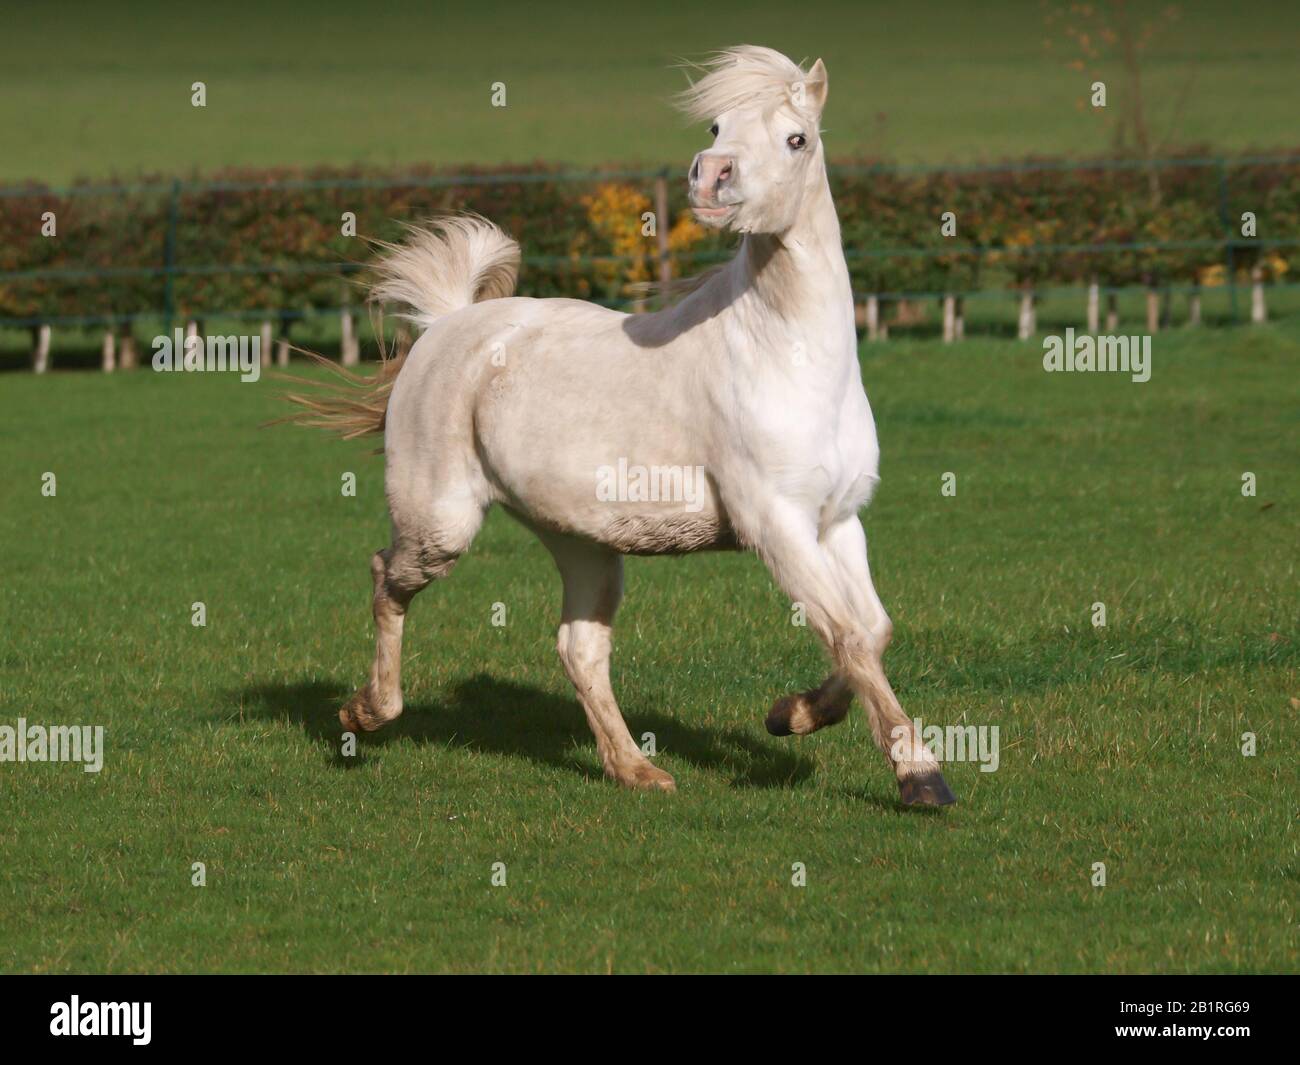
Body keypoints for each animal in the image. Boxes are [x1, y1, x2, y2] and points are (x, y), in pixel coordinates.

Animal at [288, 45, 956, 806]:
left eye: (797, 139)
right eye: (718, 126)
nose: (712, 175)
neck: (789, 356)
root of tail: (448, 324)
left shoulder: (837, 521)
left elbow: (871, 630)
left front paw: (792, 714)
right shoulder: (776, 525)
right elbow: (848, 634)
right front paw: (921, 777)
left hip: (582, 541)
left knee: (579, 648)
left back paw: (634, 768)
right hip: (441, 525)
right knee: (386, 576)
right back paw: (366, 713)